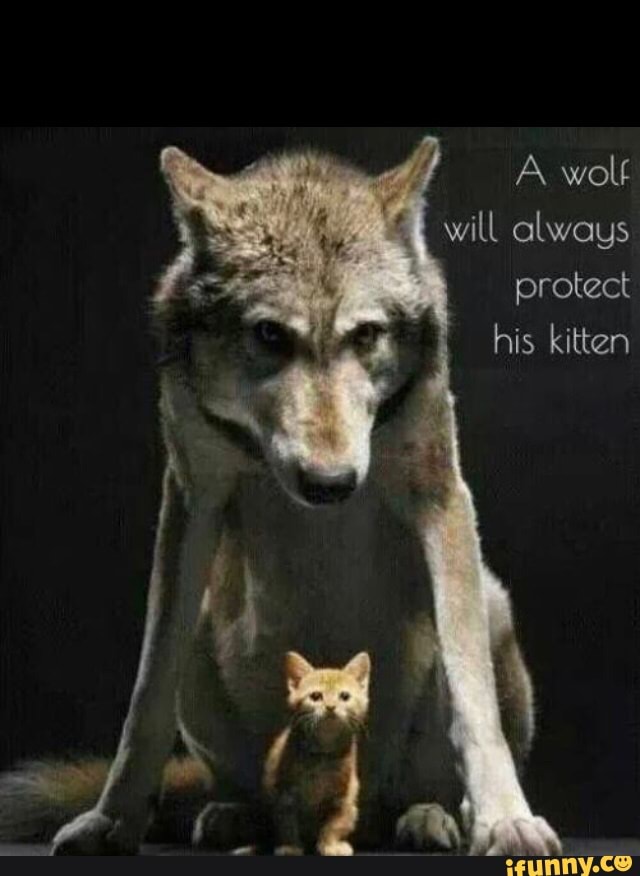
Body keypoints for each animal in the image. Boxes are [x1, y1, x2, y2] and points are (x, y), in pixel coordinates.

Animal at [0, 138, 561, 855]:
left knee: (420, 782)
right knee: (241, 782)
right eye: (270, 335)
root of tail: (361, 810)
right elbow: (145, 698)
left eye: (365, 336)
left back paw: (426, 818)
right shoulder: (193, 497)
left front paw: (504, 819)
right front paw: (111, 820)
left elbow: (473, 702)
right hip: (204, 625)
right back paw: (232, 816)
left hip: (493, 606)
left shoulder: (440, 494)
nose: (331, 485)